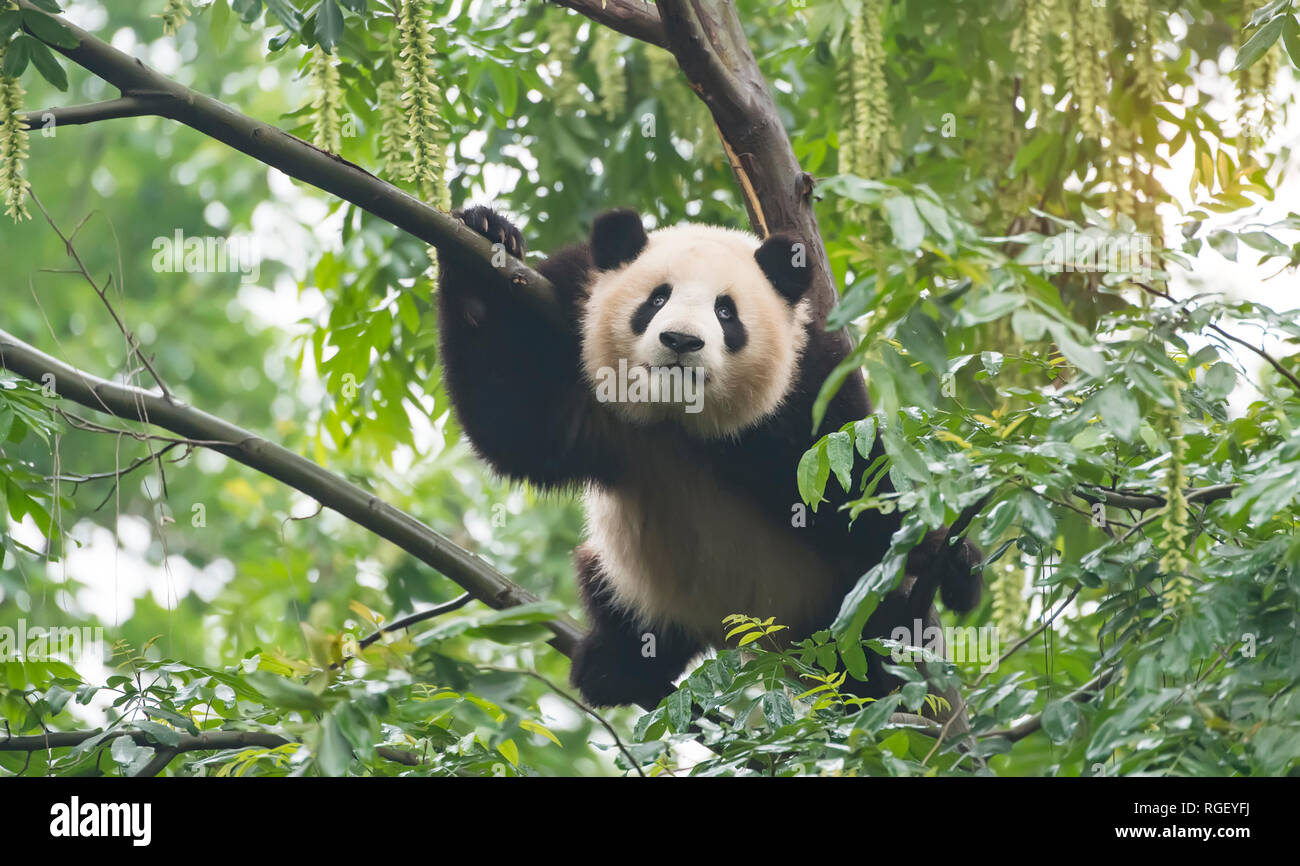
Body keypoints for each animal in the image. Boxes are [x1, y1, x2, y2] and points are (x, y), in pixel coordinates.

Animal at [437, 205, 982, 709]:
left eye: (726, 312)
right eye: (657, 298)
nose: (681, 341)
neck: (682, 422)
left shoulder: (813, 380)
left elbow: (851, 492)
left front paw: (948, 556)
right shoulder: (570, 314)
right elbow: (515, 420)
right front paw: (488, 233)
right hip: (638, 582)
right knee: (611, 588)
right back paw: (616, 668)